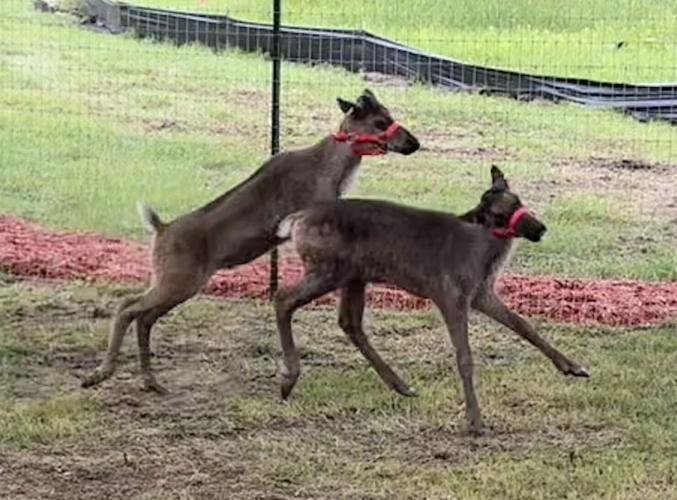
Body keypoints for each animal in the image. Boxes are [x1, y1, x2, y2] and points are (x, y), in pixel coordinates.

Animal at [81, 89, 420, 394]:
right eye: (379, 121)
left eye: (388, 114)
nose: (413, 143)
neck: (334, 171)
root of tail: (160, 229)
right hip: (178, 278)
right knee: (128, 306)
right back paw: (101, 373)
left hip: (178, 282)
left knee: (144, 316)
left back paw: (151, 382)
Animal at [274, 166, 589, 435]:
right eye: (499, 215)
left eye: (517, 199)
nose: (539, 228)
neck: (482, 254)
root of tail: (295, 221)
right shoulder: (449, 293)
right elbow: (464, 356)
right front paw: (475, 420)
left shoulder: (480, 292)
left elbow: (524, 325)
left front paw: (573, 367)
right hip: (327, 267)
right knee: (283, 297)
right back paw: (289, 379)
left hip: (354, 275)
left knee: (349, 322)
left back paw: (401, 386)